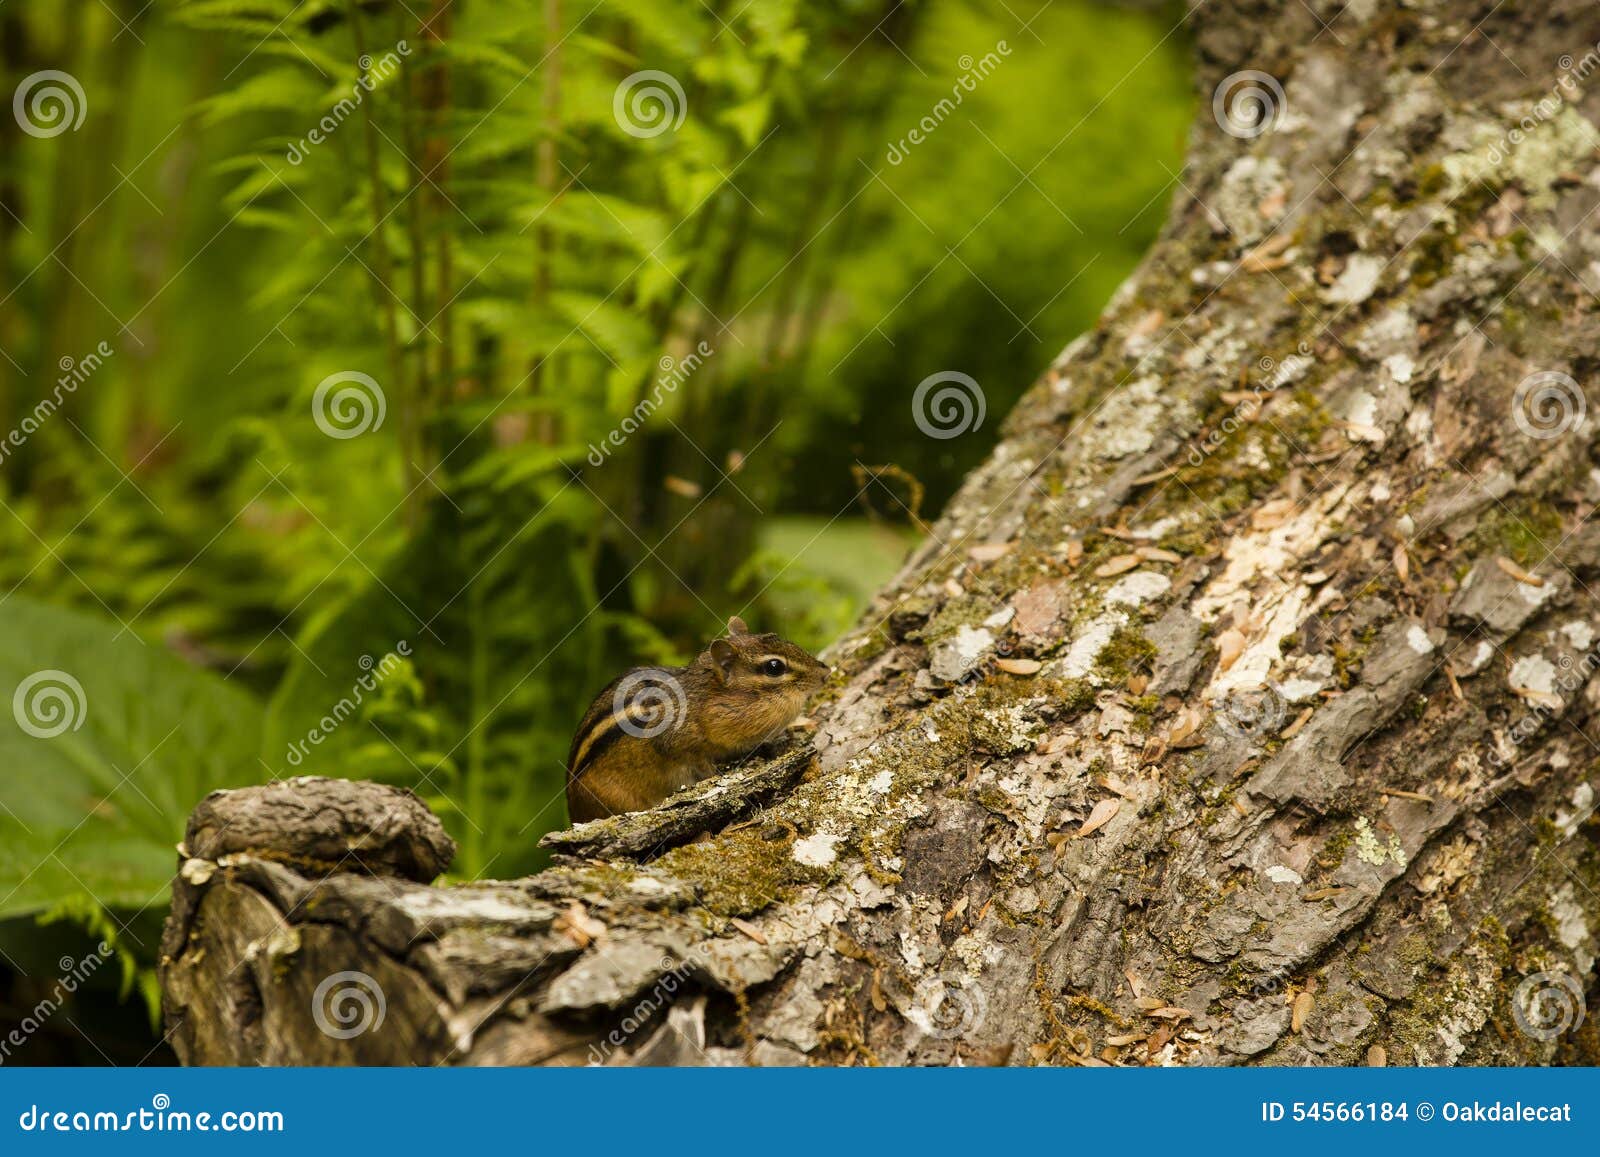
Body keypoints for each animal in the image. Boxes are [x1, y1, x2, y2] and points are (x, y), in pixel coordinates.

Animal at [565, 616, 830, 824]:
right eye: (774, 666)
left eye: (774, 635)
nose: (826, 672)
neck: (703, 699)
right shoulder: (680, 743)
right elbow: (699, 763)